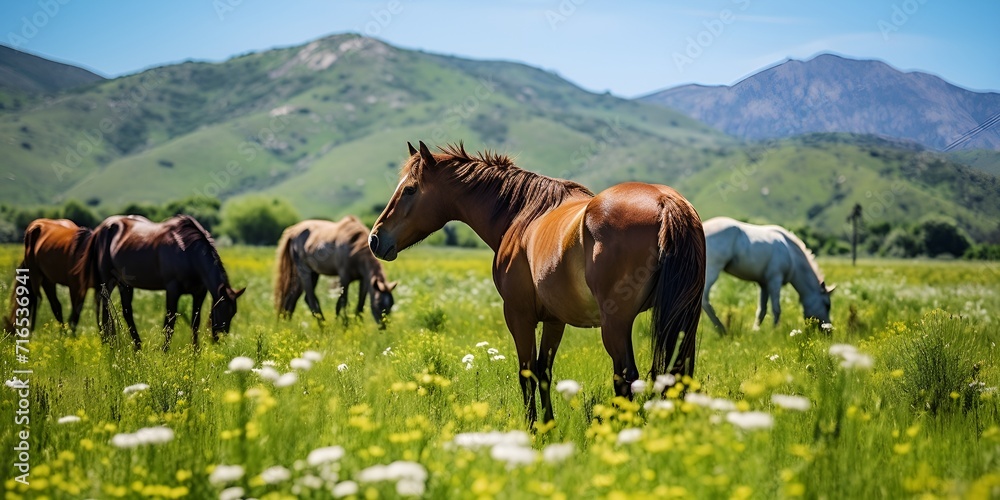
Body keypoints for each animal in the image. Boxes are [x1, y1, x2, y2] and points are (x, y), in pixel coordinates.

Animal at [77, 214, 245, 351]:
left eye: (233, 312)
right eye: (220, 310)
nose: (219, 338)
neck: (188, 252)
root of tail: (101, 228)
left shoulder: (199, 293)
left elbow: (195, 323)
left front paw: (195, 352)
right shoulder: (172, 290)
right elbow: (169, 323)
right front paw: (164, 351)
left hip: (124, 284)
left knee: (125, 312)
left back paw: (134, 346)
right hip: (107, 281)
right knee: (104, 308)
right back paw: (108, 343)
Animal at [369, 142, 706, 423]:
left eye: (410, 189)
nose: (375, 238)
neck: (522, 215)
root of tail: (665, 201)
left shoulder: (519, 315)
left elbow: (527, 371)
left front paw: (532, 428)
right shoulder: (555, 320)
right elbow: (544, 370)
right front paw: (548, 424)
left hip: (616, 324)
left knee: (626, 378)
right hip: (684, 320)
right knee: (677, 375)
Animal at [701, 217, 835, 334]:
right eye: (827, 305)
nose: (828, 332)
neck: (790, 254)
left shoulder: (763, 284)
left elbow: (762, 310)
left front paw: (755, 331)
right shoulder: (774, 280)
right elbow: (776, 309)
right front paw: (774, 332)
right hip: (712, 271)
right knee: (704, 300)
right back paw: (722, 329)